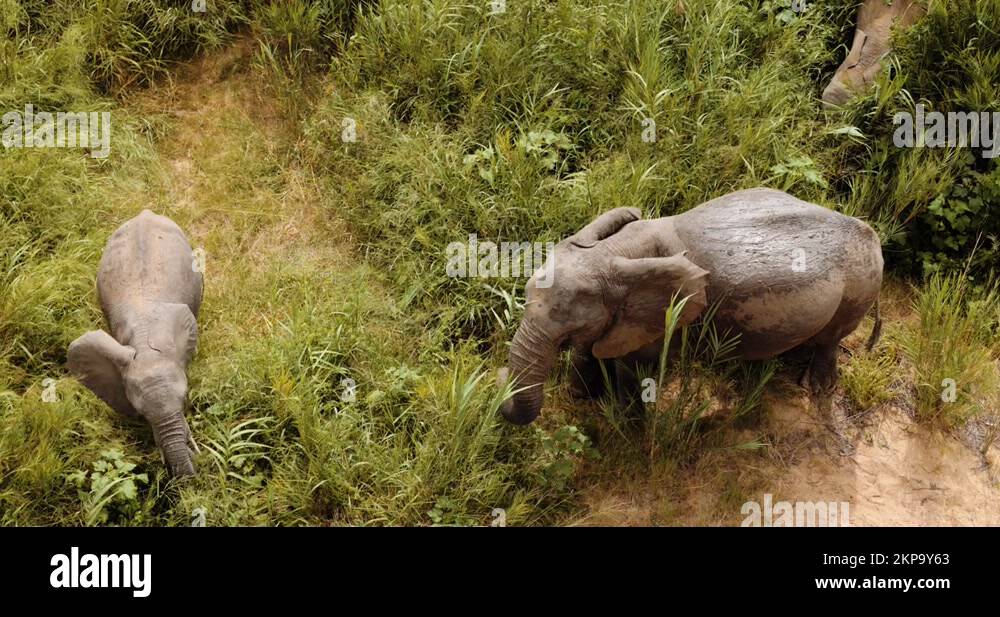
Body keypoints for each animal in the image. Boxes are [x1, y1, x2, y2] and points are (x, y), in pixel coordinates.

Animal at [498, 188, 884, 425]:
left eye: (569, 326)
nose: (500, 378)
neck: (613, 250)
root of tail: (872, 233)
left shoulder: (662, 320)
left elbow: (630, 368)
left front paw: (627, 421)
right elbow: (593, 351)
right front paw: (583, 396)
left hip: (858, 288)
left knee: (831, 338)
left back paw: (815, 387)